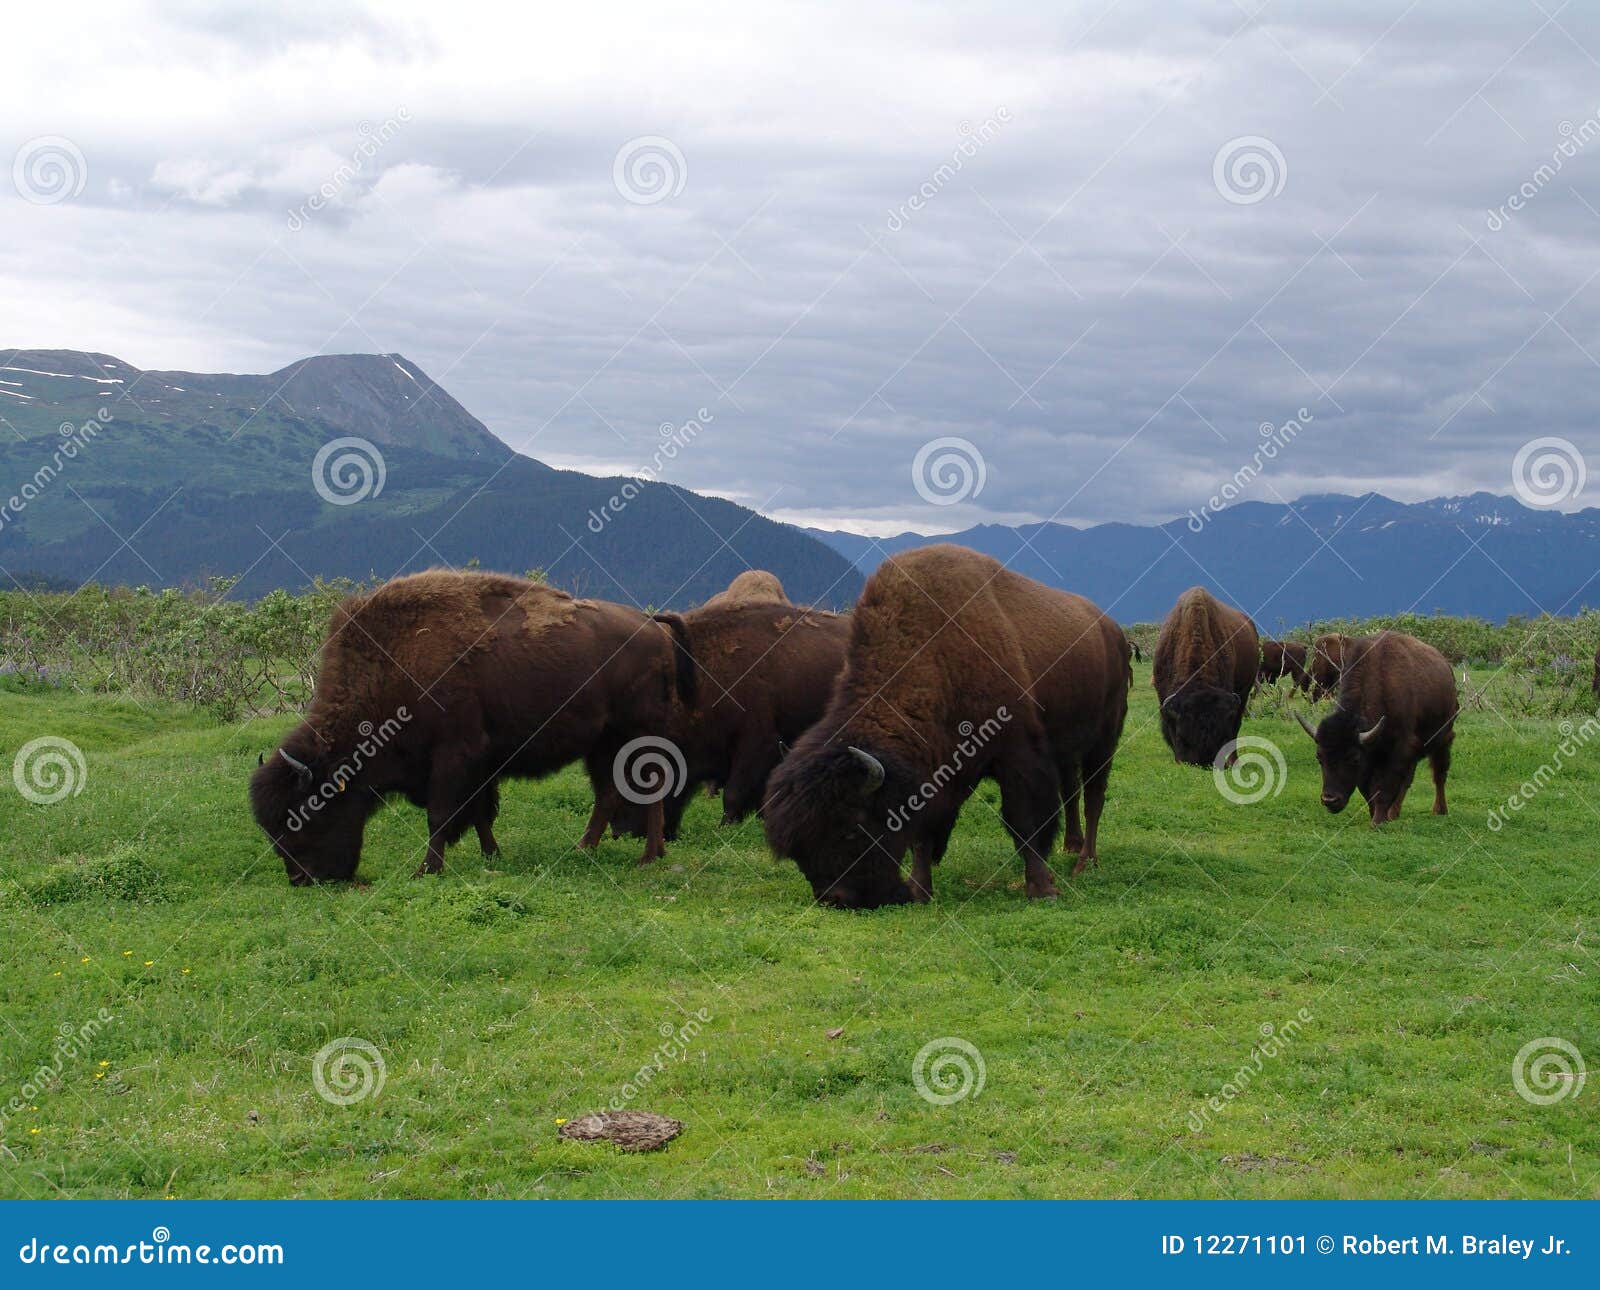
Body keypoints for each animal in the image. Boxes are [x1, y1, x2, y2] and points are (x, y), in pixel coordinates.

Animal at [250, 570, 694, 884]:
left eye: (302, 814)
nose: (301, 878)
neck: (393, 666)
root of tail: (652, 625)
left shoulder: (454, 755)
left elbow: (440, 815)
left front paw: (426, 870)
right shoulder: (477, 765)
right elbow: (479, 812)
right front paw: (491, 854)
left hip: (637, 735)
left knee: (651, 785)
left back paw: (648, 856)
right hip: (602, 743)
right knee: (606, 793)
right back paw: (583, 848)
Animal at [763, 544, 1130, 909]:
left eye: (853, 829)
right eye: (801, 849)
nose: (837, 898)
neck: (936, 653)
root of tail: (1111, 629)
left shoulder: (1018, 756)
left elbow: (1023, 821)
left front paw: (1042, 889)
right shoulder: (939, 773)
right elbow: (924, 833)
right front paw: (919, 889)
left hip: (1104, 742)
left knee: (1094, 797)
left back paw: (1085, 862)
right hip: (1069, 751)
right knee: (1072, 792)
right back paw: (1071, 847)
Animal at [1295, 631, 1457, 823]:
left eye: (1353, 758)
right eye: (1319, 757)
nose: (1330, 799)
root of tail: (1446, 666)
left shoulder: (1399, 749)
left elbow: (1385, 787)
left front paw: (1378, 821)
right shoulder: (1373, 760)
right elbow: (1370, 790)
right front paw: (1376, 815)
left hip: (1444, 738)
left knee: (1439, 774)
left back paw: (1440, 810)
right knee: (1408, 780)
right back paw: (1394, 813)